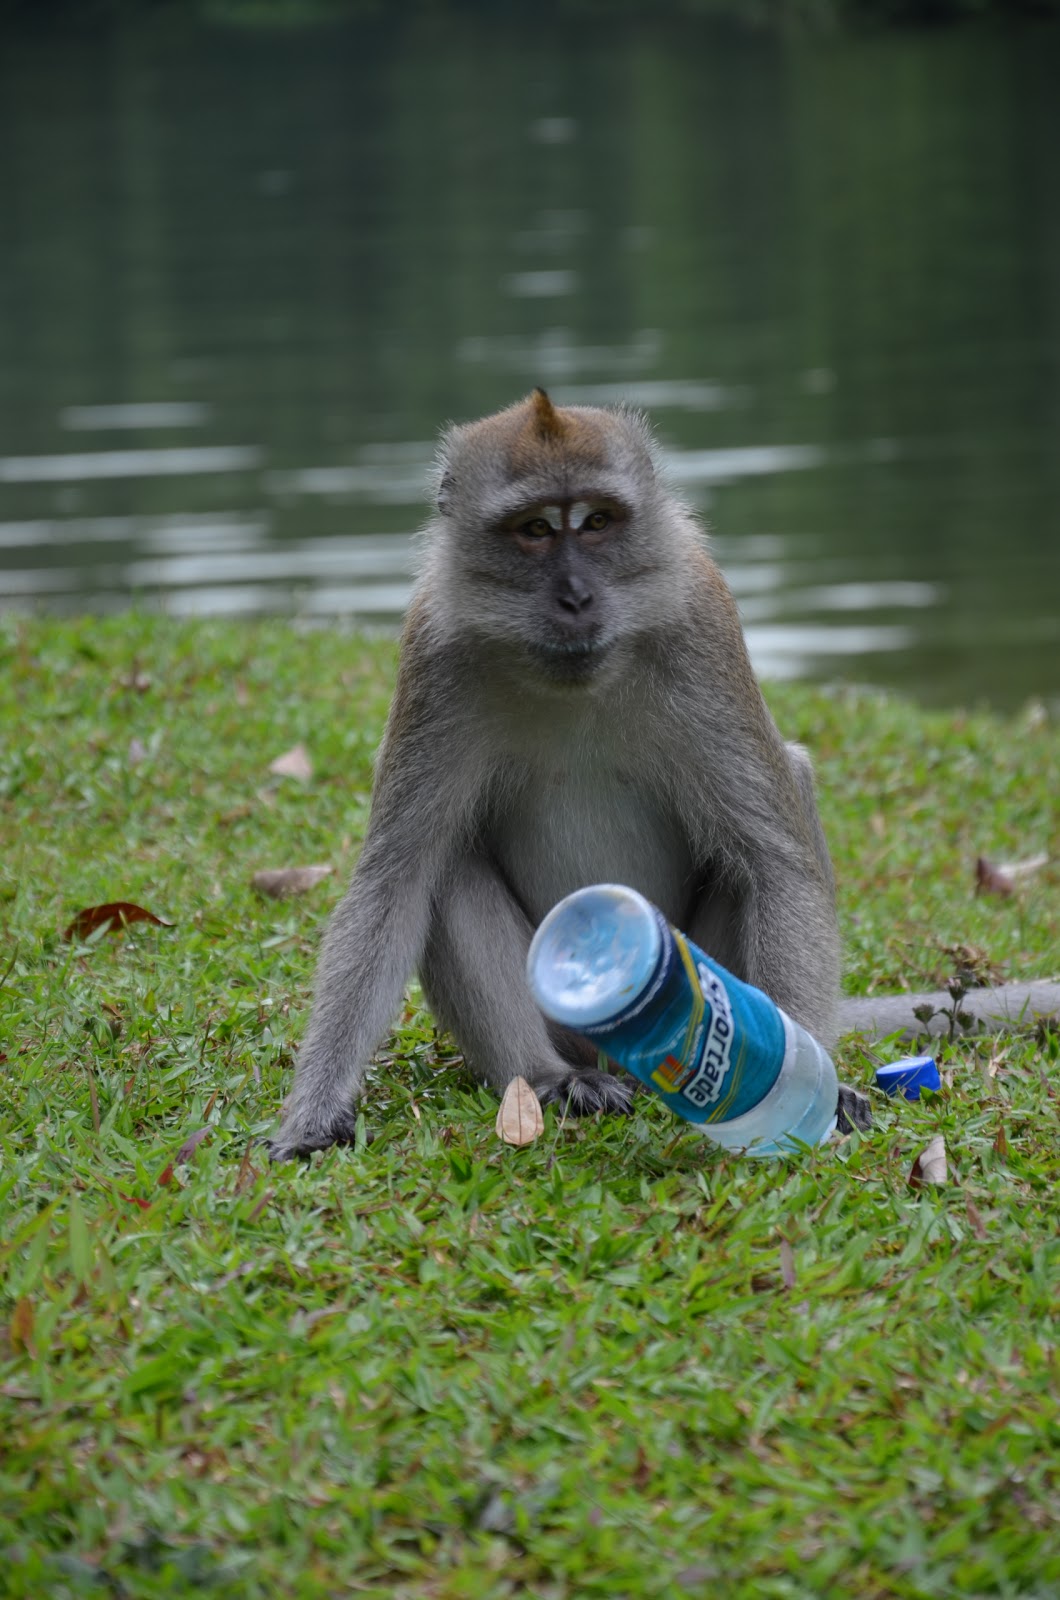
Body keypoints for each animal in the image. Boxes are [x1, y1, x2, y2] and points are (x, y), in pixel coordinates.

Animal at [267, 389, 872, 1161]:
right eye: (535, 530)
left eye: (596, 522)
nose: (578, 596)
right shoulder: (433, 652)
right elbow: (395, 879)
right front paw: (315, 1111)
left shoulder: (703, 626)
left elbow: (774, 863)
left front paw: (811, 1084)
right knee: (446, 864)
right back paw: (549, 1080)